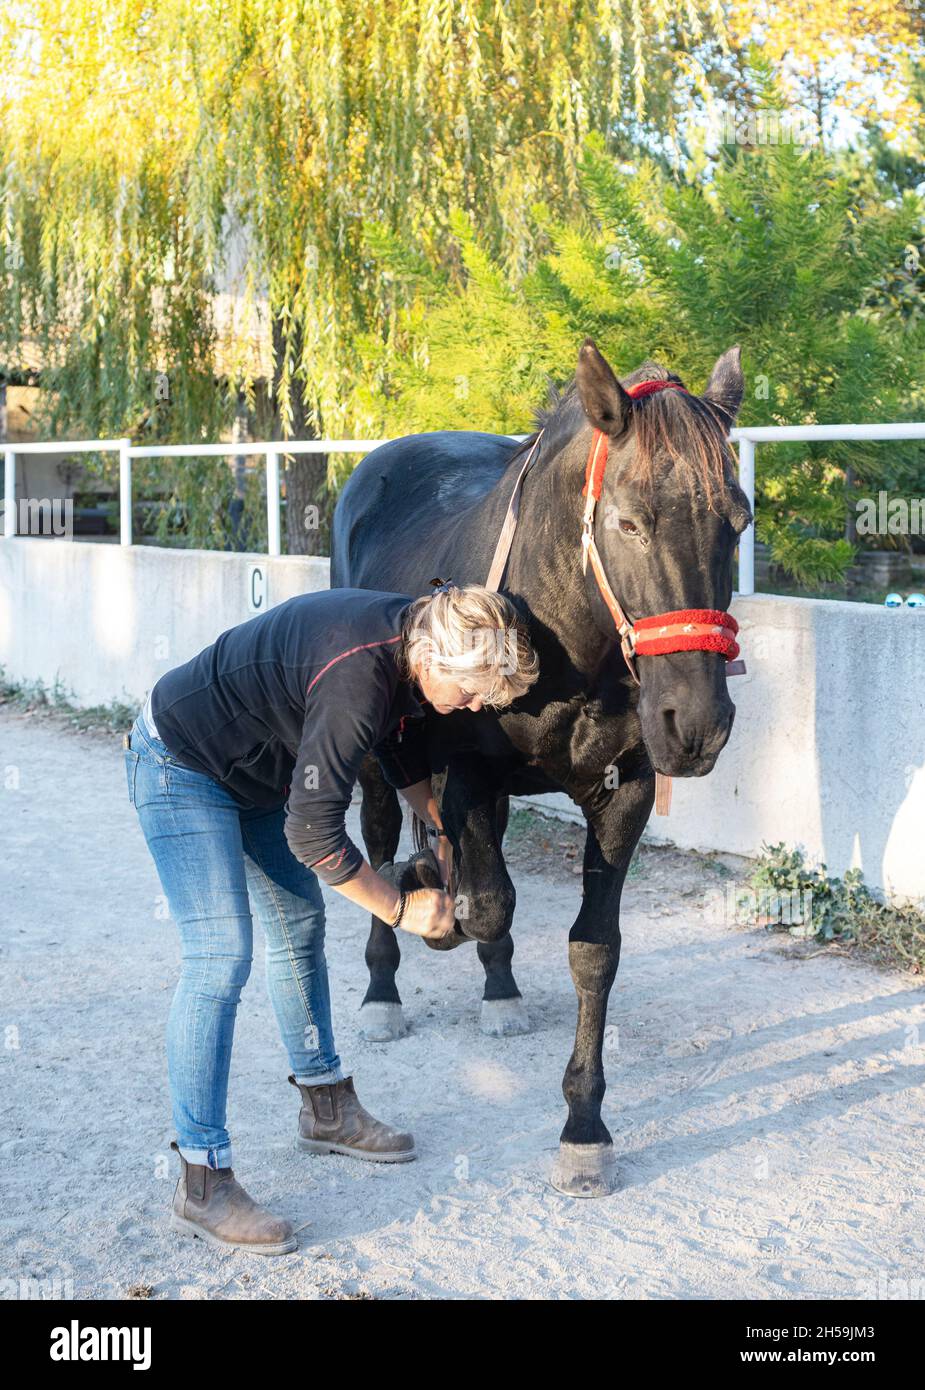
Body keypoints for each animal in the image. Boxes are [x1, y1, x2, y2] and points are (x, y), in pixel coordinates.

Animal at [331, 338, 752, 1195]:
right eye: (628, 521)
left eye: (738, 521)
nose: (696, 725)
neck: (564, 635)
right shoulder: (466, 775)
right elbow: (485, 899)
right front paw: (440, 914)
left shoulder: (624, 794)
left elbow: (592, 950)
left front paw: (584, 1125)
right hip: (378, 758)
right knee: (384, 840)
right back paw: (384, 986)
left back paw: (498, 986)